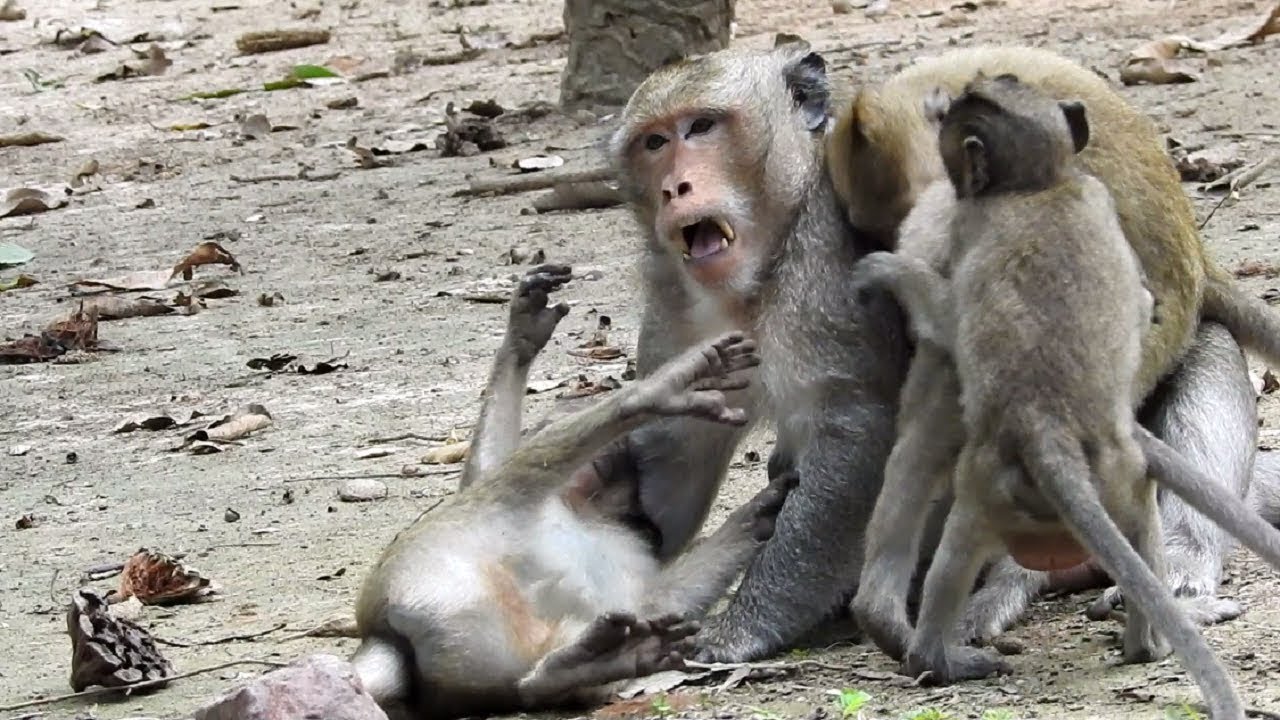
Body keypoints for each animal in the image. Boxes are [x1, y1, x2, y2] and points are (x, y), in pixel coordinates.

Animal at [350, 265, 799, 719]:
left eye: (629, 482)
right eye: (617, 470)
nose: (644, 520)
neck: (583, 508)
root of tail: (385, 637)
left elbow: (659, 599)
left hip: (485, 649)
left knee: (529, 681)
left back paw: (569, 670)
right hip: (443, 547)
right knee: (525, 476)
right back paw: (654, 392)